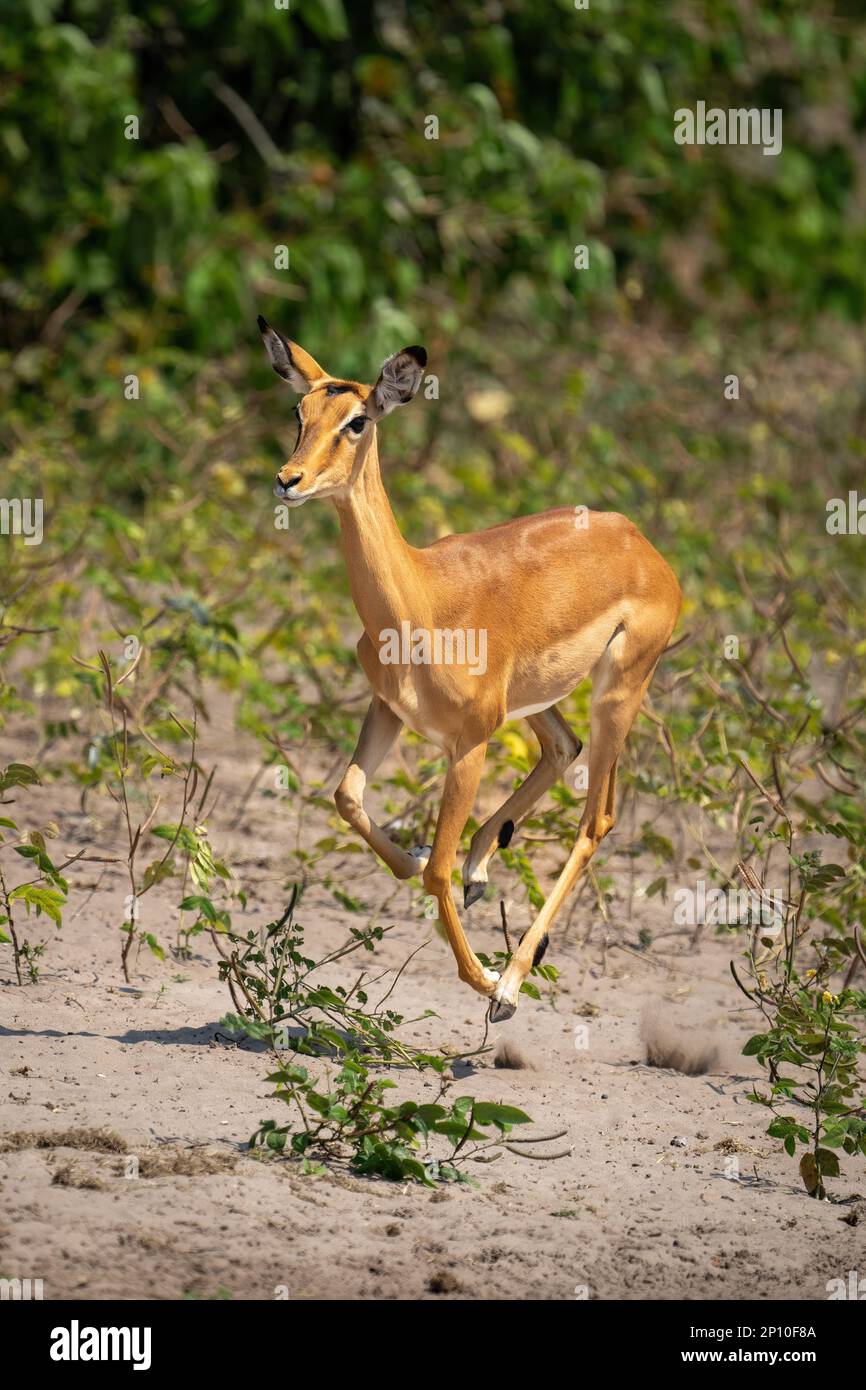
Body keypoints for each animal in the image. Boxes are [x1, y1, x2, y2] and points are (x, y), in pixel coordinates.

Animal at [259, 318, 682, 1022]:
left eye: (357, 421)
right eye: (300, 411)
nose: (288, 479)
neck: (421, 601)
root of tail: (642, 544)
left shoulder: (470, 745)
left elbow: (435, 871)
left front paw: (486, 982)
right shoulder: (389, 710)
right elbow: (348, 798)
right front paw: (419, 856)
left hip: (617, 690)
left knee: (595, 820)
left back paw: (510, 982)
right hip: (539, 702)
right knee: (563, 748)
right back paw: (482, 873)